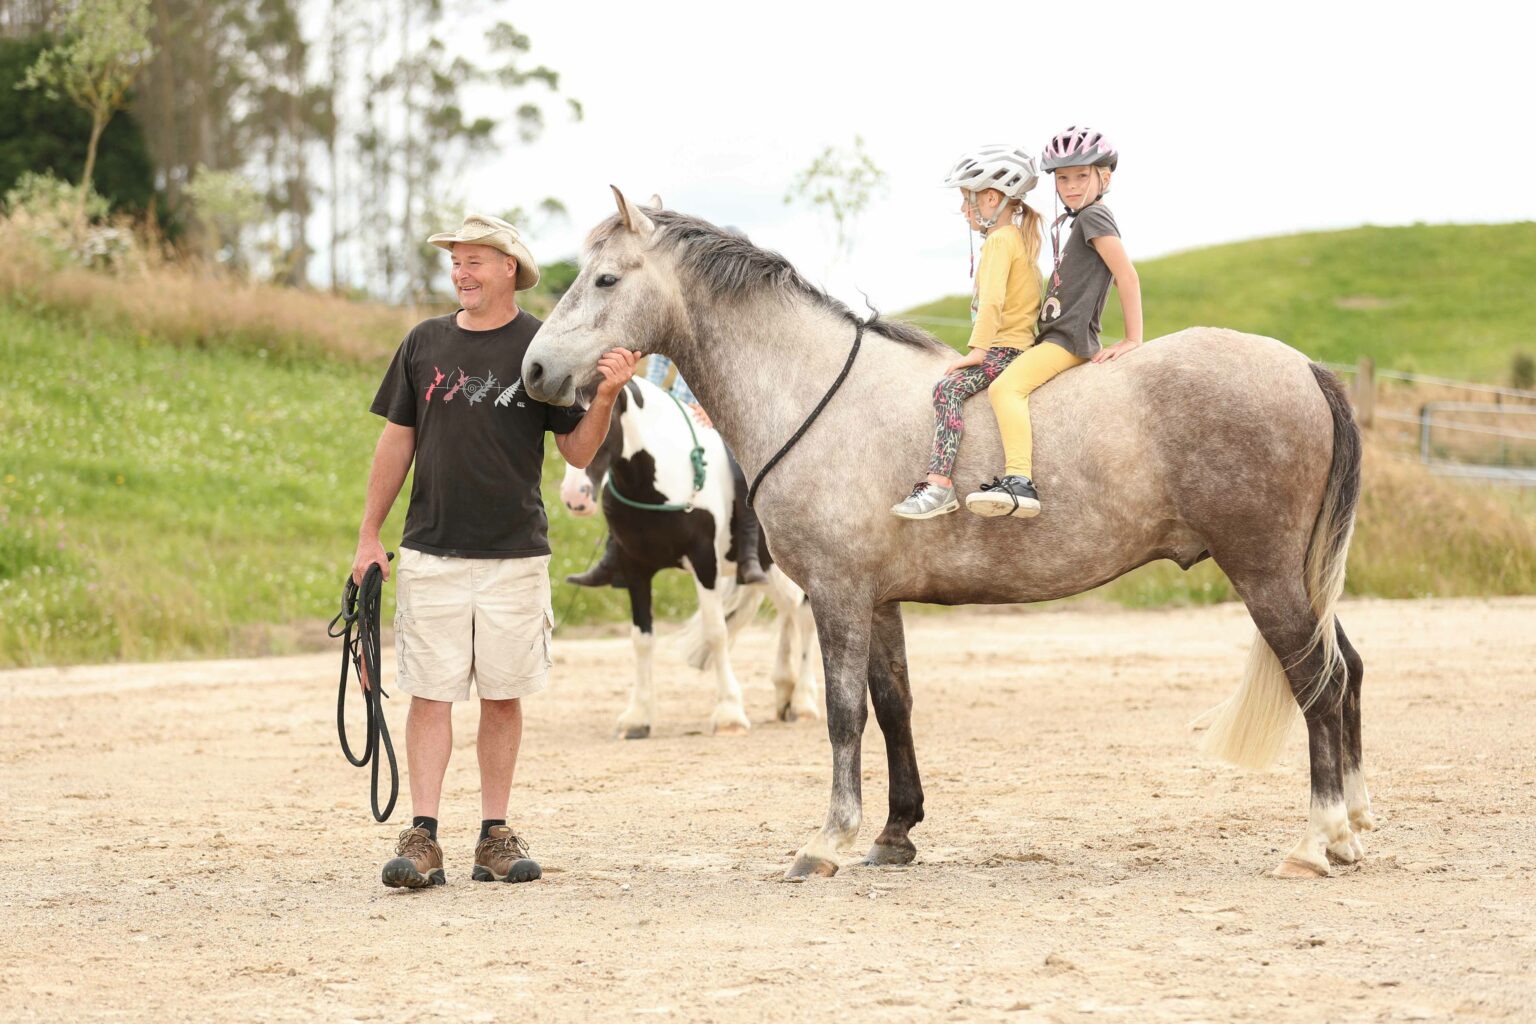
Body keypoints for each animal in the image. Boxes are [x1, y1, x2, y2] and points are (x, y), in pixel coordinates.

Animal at [558, 375, 821, 738]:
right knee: (789, 609)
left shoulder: (704, 562)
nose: (575, 497)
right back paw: (784, 692)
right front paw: (638, 717)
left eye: (601, 415)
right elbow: (641, 639)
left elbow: (716, 633)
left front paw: (728, 713)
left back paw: (805, 702)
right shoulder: (635, 569)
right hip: (769, 569)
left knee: (804, 615)